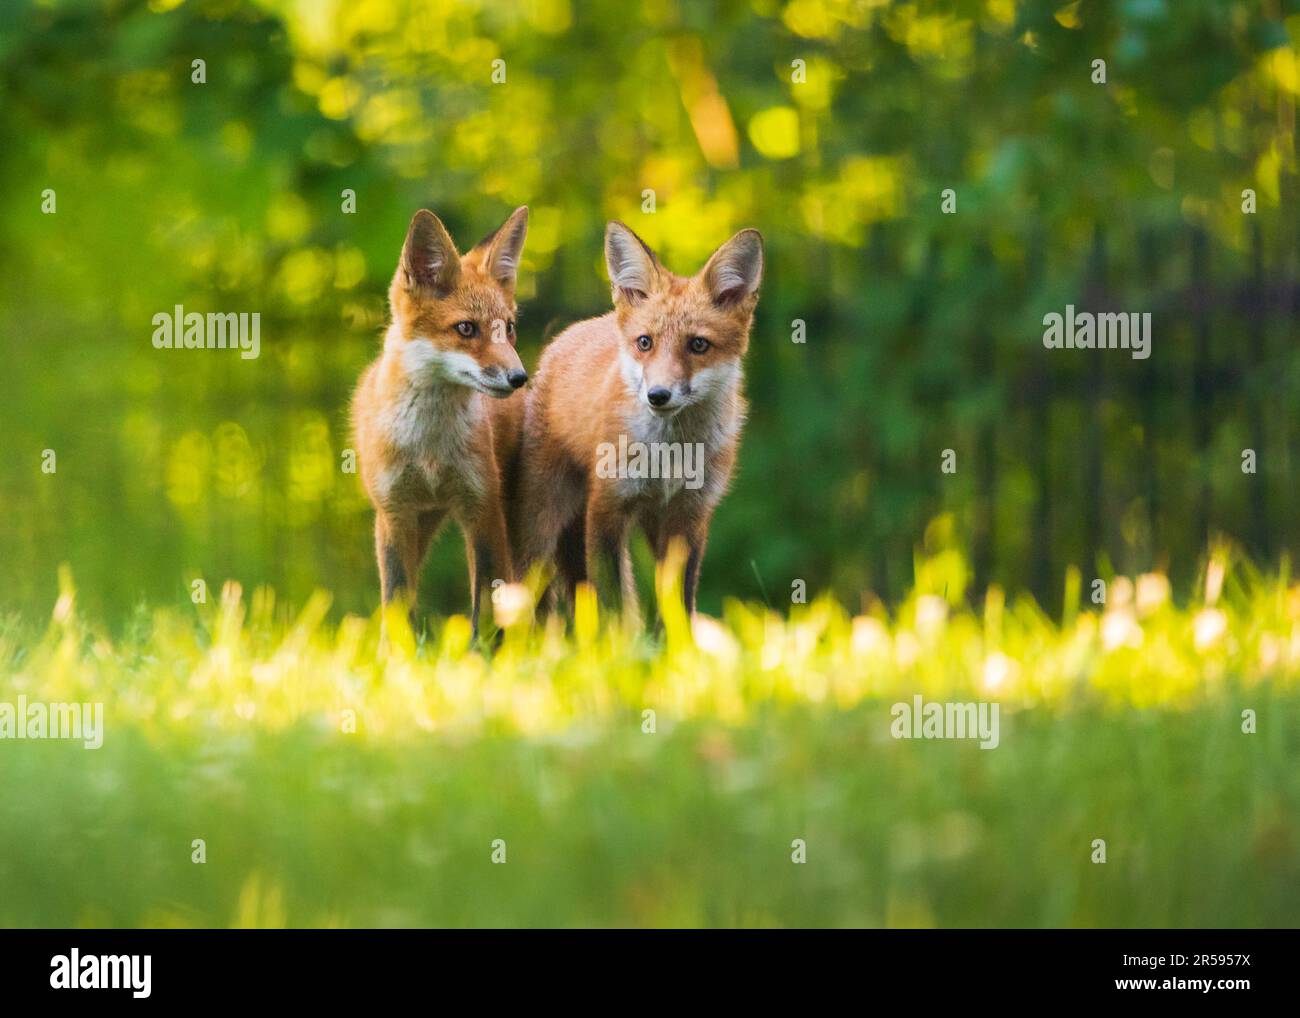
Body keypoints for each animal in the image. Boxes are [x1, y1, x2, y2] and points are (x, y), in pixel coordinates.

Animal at [351, 205, 530, 637]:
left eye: (509, 328)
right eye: (466, 328)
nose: (519, 378)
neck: (429, 446)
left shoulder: (481, 508)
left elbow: (486, 605)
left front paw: (484, 652)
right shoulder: (394, 514)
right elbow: (397, 603)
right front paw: (396, 653)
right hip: (419, 523)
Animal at [515, 221, 763, 622]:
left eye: (698, 345)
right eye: (645, 342)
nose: (658, 395)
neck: (669, 457)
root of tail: (570, 333)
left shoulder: (689, 516)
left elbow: (678, 604)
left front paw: (674, 641)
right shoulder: (607, 508)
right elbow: (613, 604)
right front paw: (617, 640)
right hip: (541, 519)